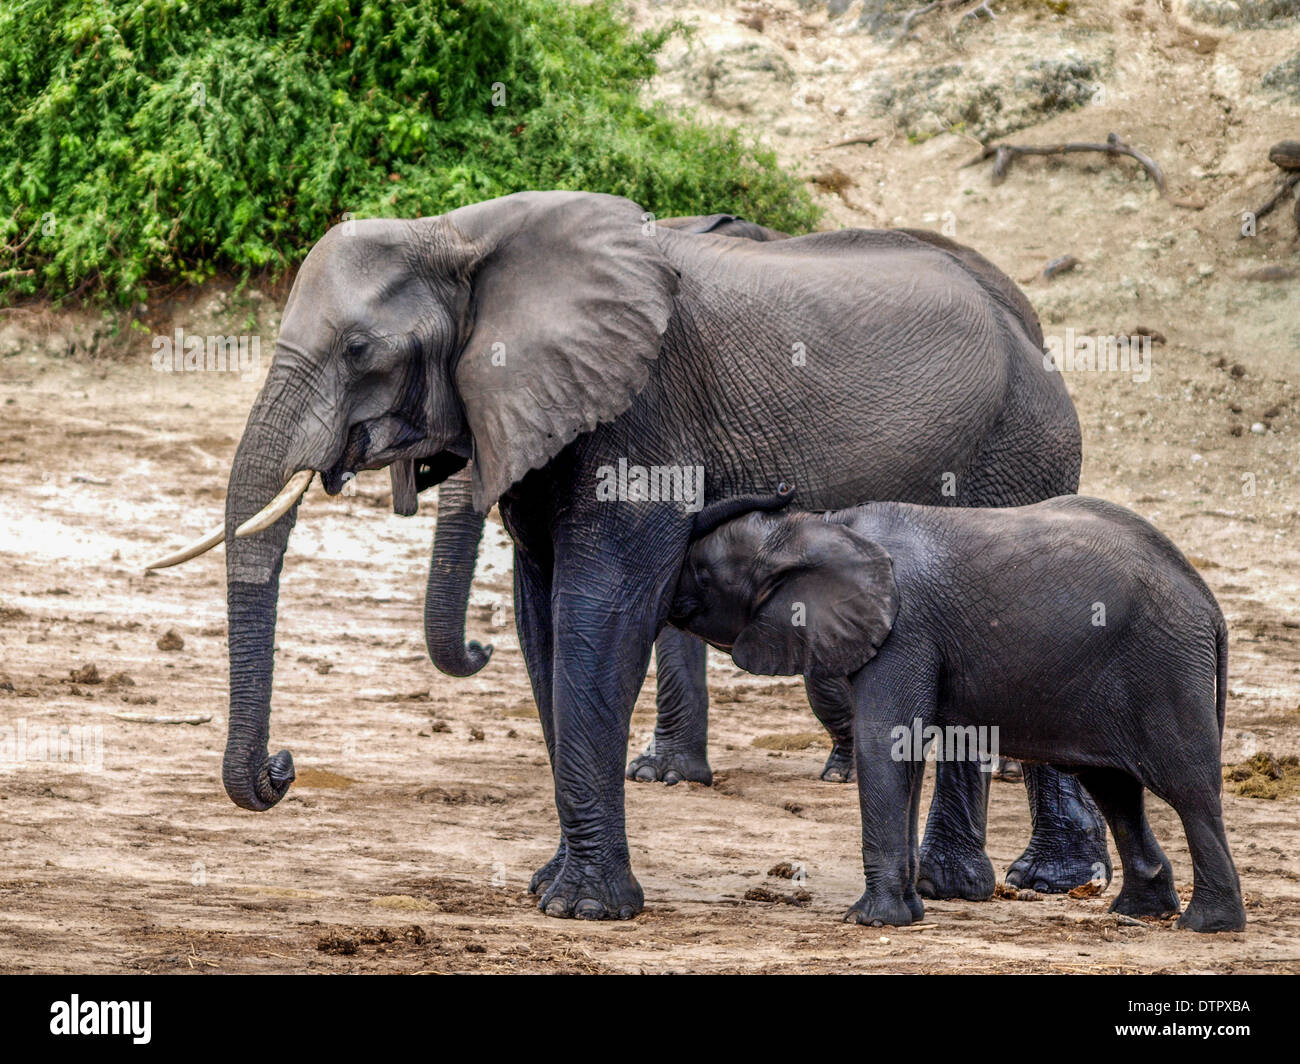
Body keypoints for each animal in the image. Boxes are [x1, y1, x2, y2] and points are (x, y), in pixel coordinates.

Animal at [147, 189, 1111, 919]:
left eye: (361, 352)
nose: (281, 769)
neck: (463, 232)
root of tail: (1034, 335)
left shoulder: (642, 412)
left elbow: (599, 611)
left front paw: (582, 908)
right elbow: (544, 623)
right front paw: (551, 886)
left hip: (1017, 454)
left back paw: (998, 885)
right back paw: (984, 887)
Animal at [668, 490, 1245, 933]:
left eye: (701, 572)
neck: (816, 528)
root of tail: (1209, 602)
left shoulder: (905, 632)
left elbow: (885, 742)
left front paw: (869, 921)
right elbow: (904, 754)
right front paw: (908, 914)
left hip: (1164, 666)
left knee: (1189, 790)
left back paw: (1207, 925)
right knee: (1115, 786)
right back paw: (1139, 913)